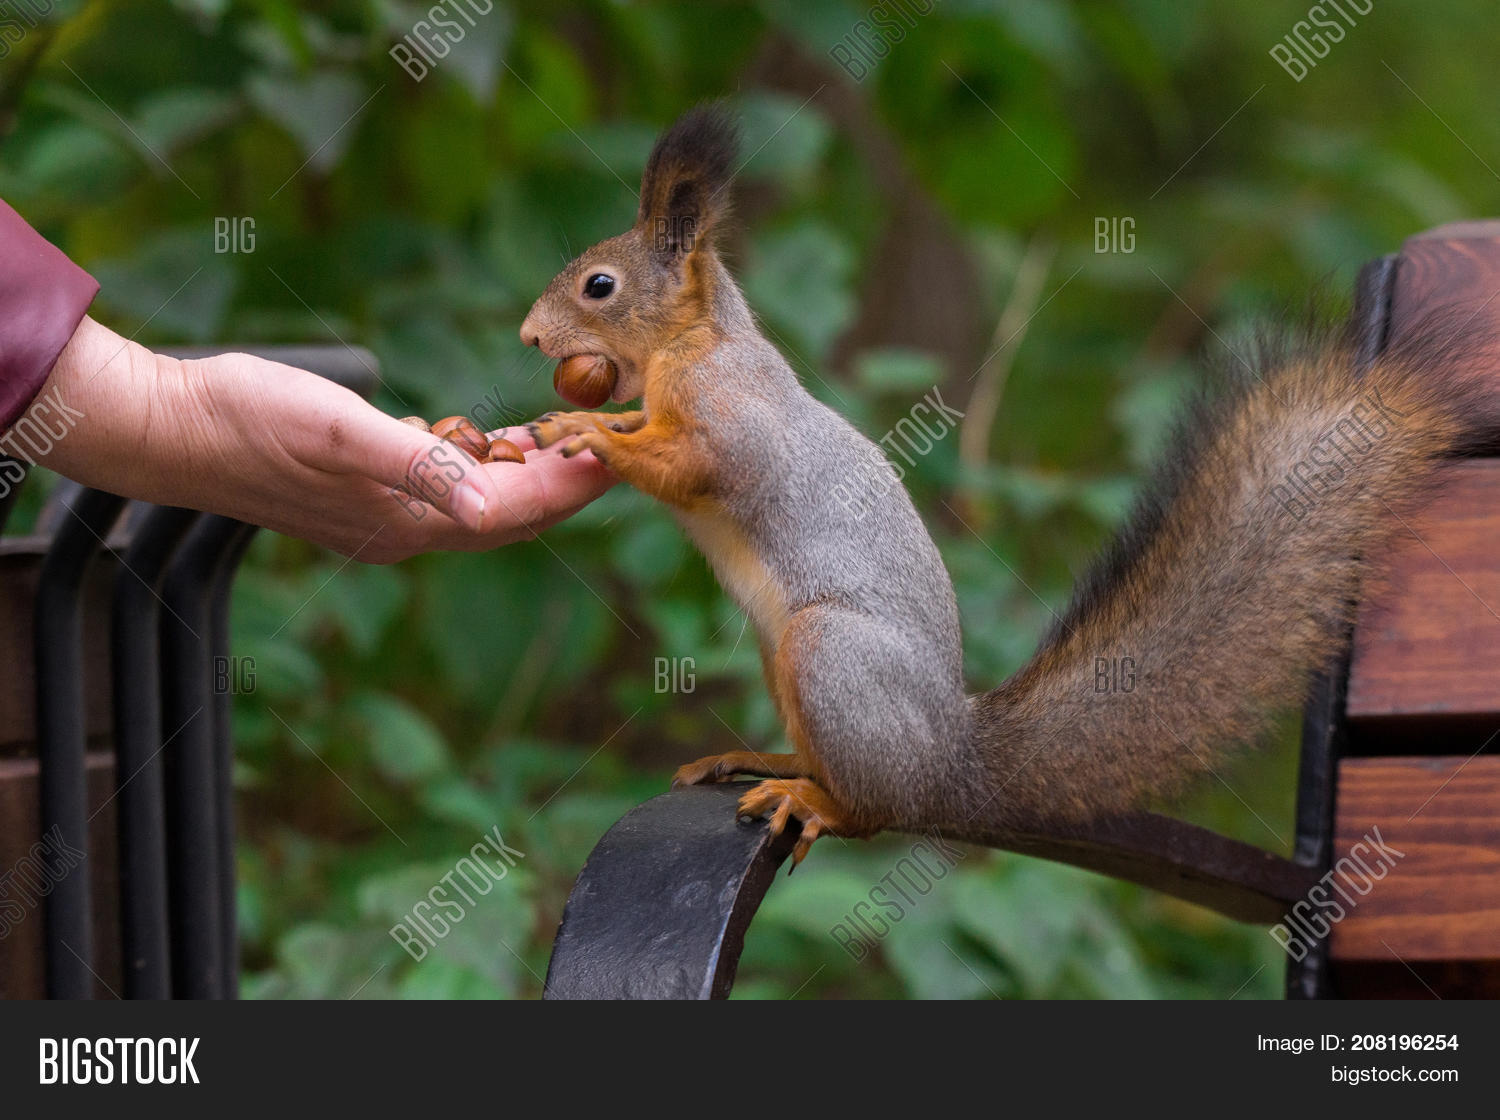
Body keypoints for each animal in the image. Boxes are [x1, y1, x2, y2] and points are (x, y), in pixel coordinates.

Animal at [520, 104, 1500, 865]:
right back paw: (772, 764)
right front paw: (571, 426)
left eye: (599, 286)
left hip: (828, 651)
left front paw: (581, 433)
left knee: (876, 812)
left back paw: (813, 800)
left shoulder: (729, 414)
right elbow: (646, 434)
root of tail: (952, 767)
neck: (696, 341)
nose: (530, 337)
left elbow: (694, 465)